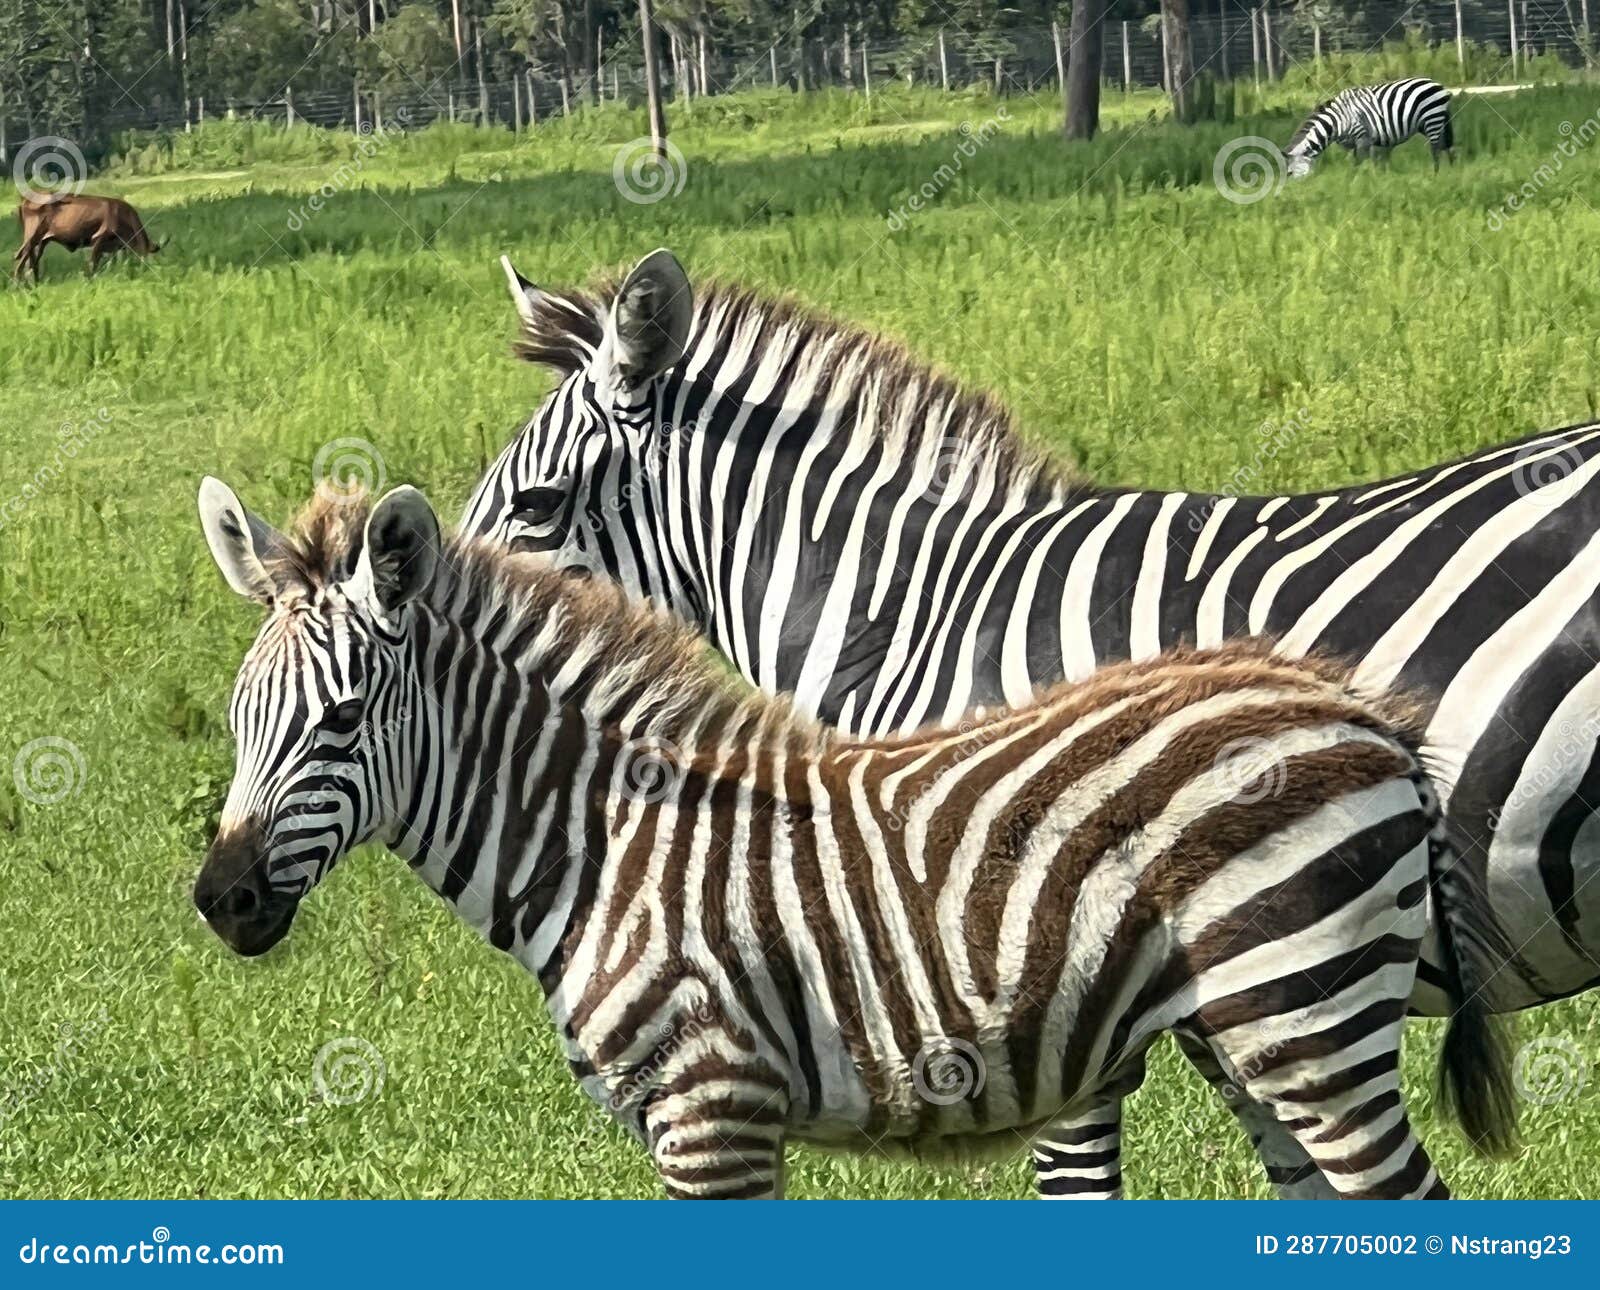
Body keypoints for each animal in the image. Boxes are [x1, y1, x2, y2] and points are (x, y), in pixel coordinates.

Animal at [193, 477, 1516, 1199]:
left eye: (341, 720)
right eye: (237, 718)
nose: (221, 899)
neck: (603, 847)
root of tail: (1360, 711)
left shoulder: (711, 1109)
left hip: (1309, 1012)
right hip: (1253, 1031)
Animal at [1285, 78, 1454, 176]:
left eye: (1289, 174)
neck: (1336, 122)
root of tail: (1437, 84)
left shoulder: (1362, 138)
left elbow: (1359, 163)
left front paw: (1359, 182)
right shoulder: (1352, 144)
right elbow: (1357, 163)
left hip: (1432, 118)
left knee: (1436, 149)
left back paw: (1436, 175)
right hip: (1429, 123)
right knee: (1446, 146)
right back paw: (1450, 173)